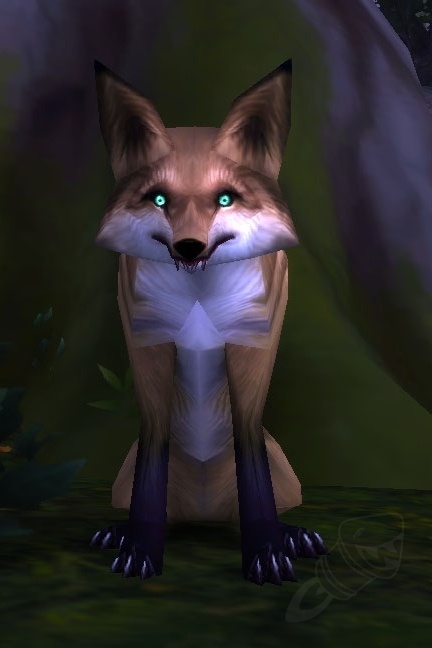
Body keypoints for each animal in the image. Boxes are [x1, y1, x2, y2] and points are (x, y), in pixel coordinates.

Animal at [90, 58, 329, 586]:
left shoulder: (251, 348)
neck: (198, 303)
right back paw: (118, 531)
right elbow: (151, 473)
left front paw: (267, 551)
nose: (189, 246)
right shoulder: (149, 347)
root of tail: (203, 512)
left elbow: (252, 467)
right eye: (159, 200)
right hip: (122, 476)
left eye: (225, 200)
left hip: (286, 474)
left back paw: (292, 535)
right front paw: (139, 549)